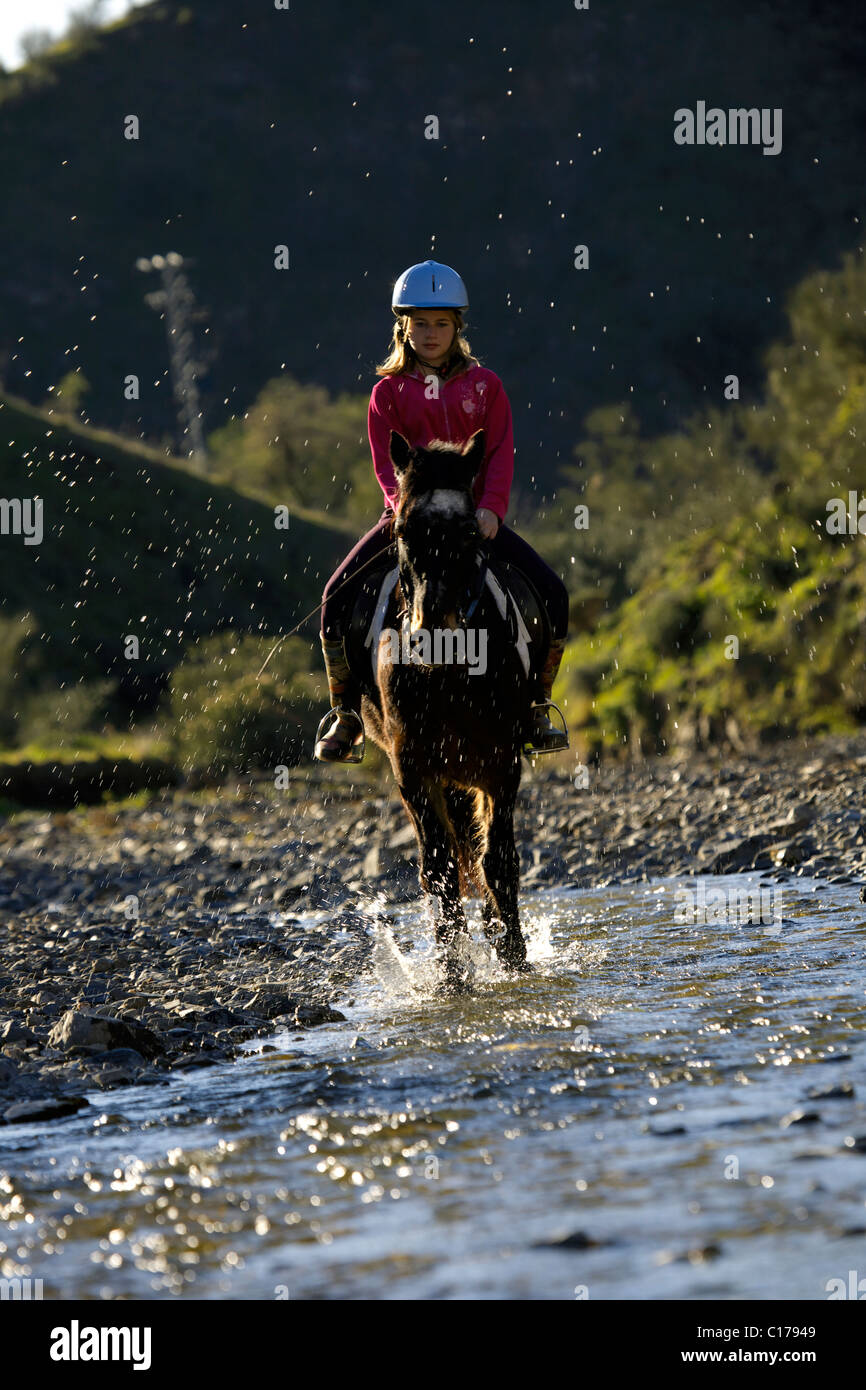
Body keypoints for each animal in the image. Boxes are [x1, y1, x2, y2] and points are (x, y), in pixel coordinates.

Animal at [360, 428, 531, 989]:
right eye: (403, 527)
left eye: (470, 530)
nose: (433, 629)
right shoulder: (413, 770)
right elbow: (438, 870)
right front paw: (451, 975)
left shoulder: (502, 765)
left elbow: (499, 862)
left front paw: (515, 959)